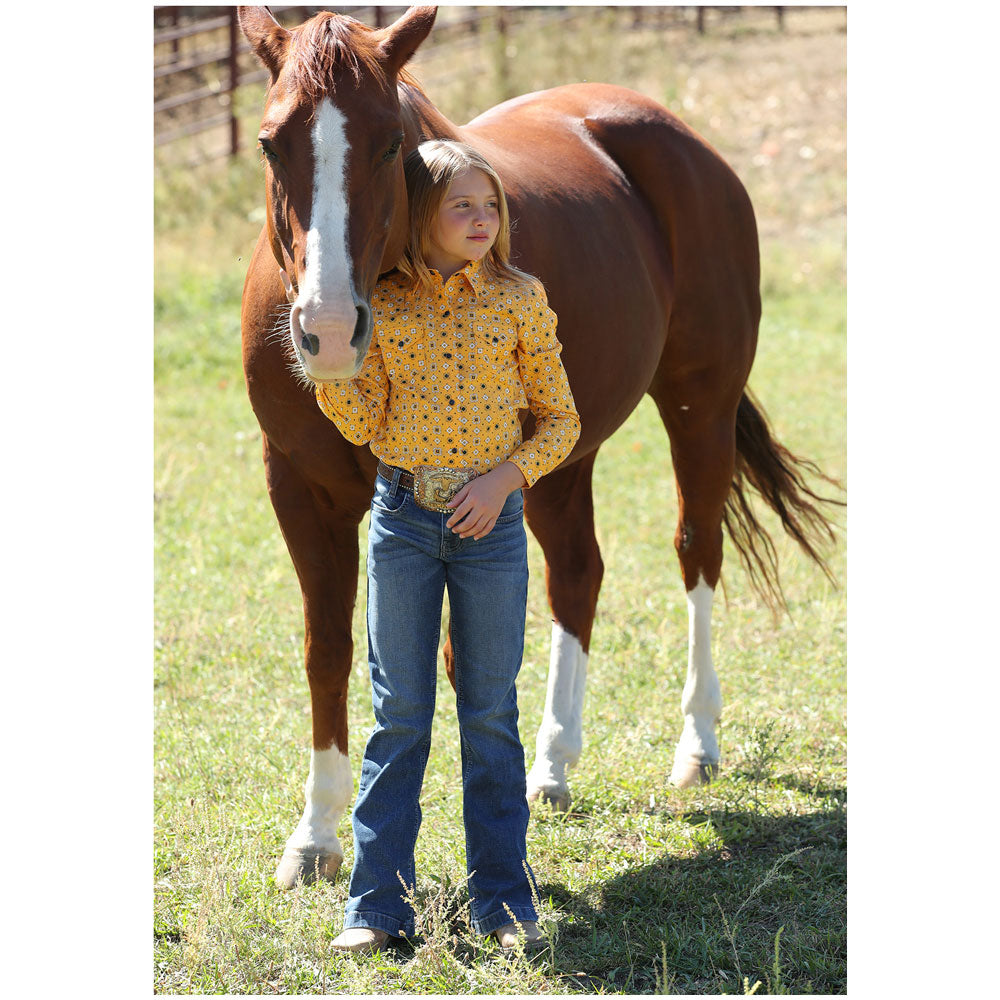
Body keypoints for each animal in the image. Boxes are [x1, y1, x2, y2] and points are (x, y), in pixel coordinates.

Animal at [237, 5, 838, 888]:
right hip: (564, 459)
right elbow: (330, 651)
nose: (331, 330)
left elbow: (464, 660)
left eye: (389, 142)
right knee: (578, 575)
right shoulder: (302, 490)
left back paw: (696, 744)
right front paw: (315, 839)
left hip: (699, 405)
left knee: (697, 549)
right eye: (271, 142)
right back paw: (553, 764)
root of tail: (677, 137)